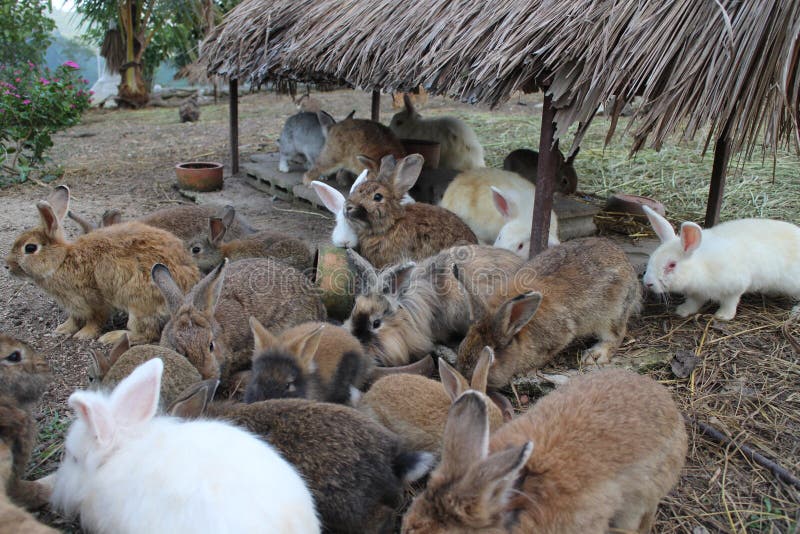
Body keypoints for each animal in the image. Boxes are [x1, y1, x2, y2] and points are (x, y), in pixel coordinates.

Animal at [6, 186, 200, 345]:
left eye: (30, 248)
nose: (7, 266)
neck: (60, 261)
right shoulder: (74, 306)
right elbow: (73, 319)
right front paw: (62, 329)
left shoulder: (93, 300)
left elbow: (96, 319)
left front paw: (83, 335)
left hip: (138, 301)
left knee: (146, 333)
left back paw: (112, 337)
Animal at [456, 238, 641, 388]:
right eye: (462, 344)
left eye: (491, 357)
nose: (466, 375)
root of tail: (625, 260)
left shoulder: (560, 335)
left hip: (612, 314)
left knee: (616, 335)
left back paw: (595, 355)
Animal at [642, 206, 800, 320]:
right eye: (652, 258)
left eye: (672, 265)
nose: (648, 283)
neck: (700, 266)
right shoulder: (697, 293)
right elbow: (694, 302)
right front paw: (683, 311)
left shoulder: (736, 286)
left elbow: (730, 302)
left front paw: (723, 316)